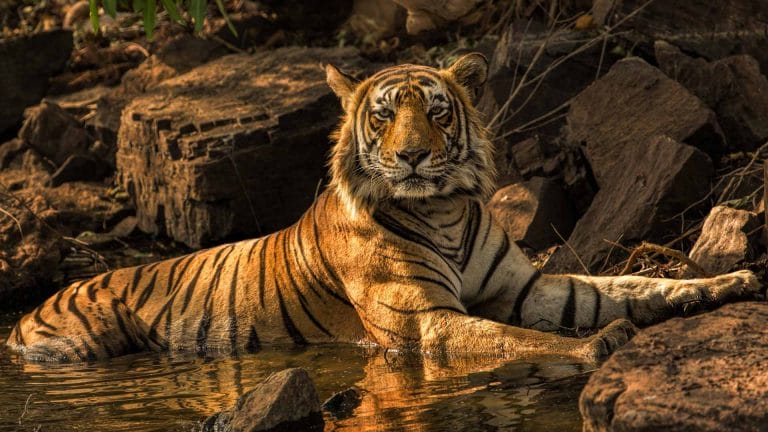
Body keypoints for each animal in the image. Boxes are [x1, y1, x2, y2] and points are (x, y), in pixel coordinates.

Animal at [6, 53, 761, 363]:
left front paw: (723, 283)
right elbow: (517, 340)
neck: (446, 210)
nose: (413, 157)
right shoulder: (423, 321)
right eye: (382, 116)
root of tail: (33, 306)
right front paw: (595, 347)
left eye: (434, 112)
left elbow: (624, 285)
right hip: (78, 345)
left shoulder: (525, 287)